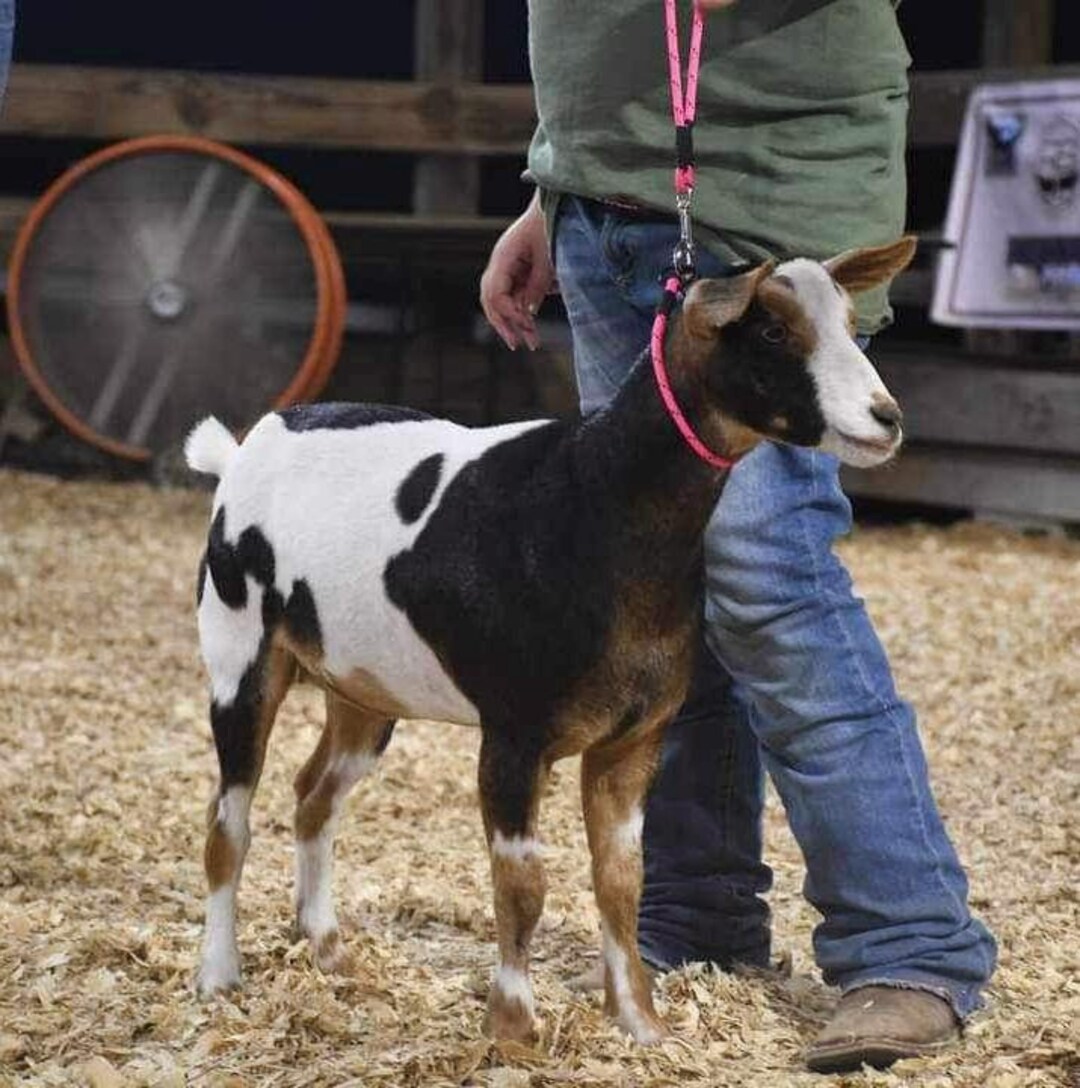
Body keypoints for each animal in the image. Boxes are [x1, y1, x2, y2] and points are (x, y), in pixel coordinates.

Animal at [185, 237, 915, 1045]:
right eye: (774, 331)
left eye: (850, 323)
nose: (885, 418)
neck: (590, 497)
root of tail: (242, 453)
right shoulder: (514, 734)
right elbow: (523, 881)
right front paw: (514, 1026)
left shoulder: (634, 740)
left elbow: (621, 881)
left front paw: (640, 1024)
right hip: (240, 652)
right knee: (227, 819)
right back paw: (218, 974)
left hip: (362, 684)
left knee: (314, 795)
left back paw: (328, 950)